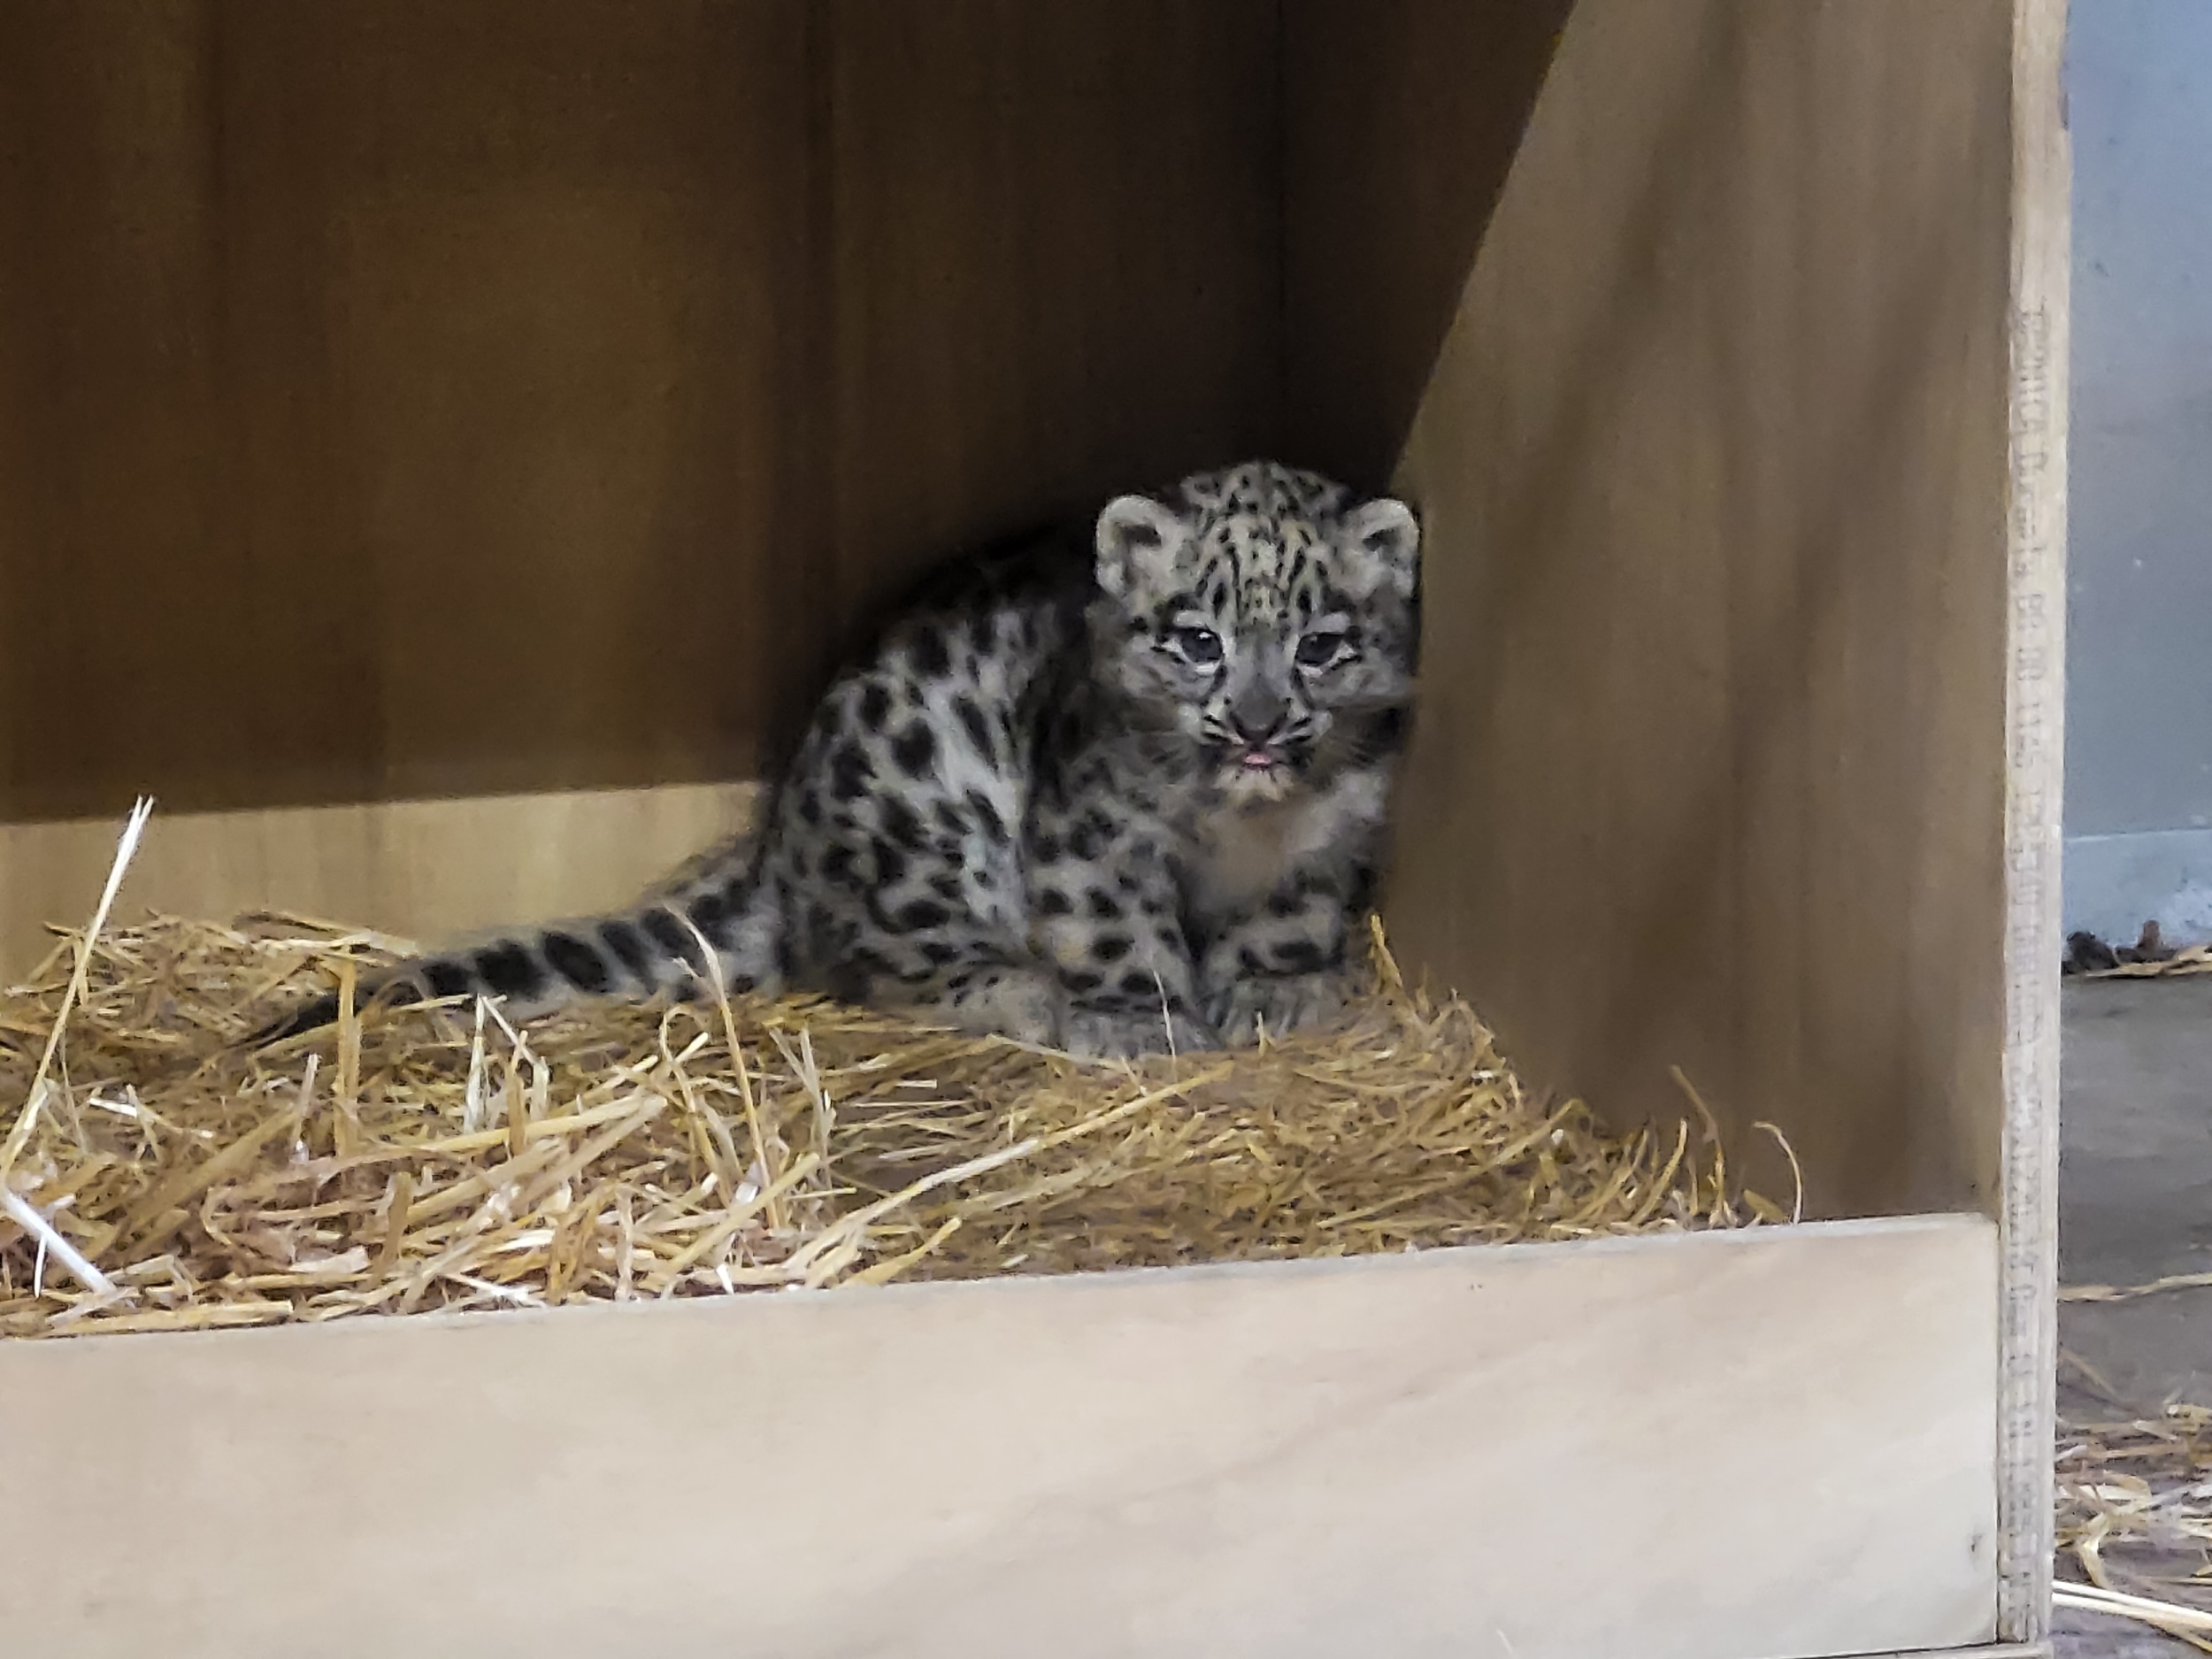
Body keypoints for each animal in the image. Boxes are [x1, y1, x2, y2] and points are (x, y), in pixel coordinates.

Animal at [255, 459, 1422, 1060]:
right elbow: (1116, 932)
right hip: (930, 837)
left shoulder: (1334, 835)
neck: (1241, 825)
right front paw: (1141, 1022)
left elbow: (1286, 922)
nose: (1259, 728)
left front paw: (1273, 993)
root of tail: (782, 852)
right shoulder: (1096, 836)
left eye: (1320, 644)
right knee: (884, 964)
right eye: (1198, 639)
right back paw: (1019, 992)